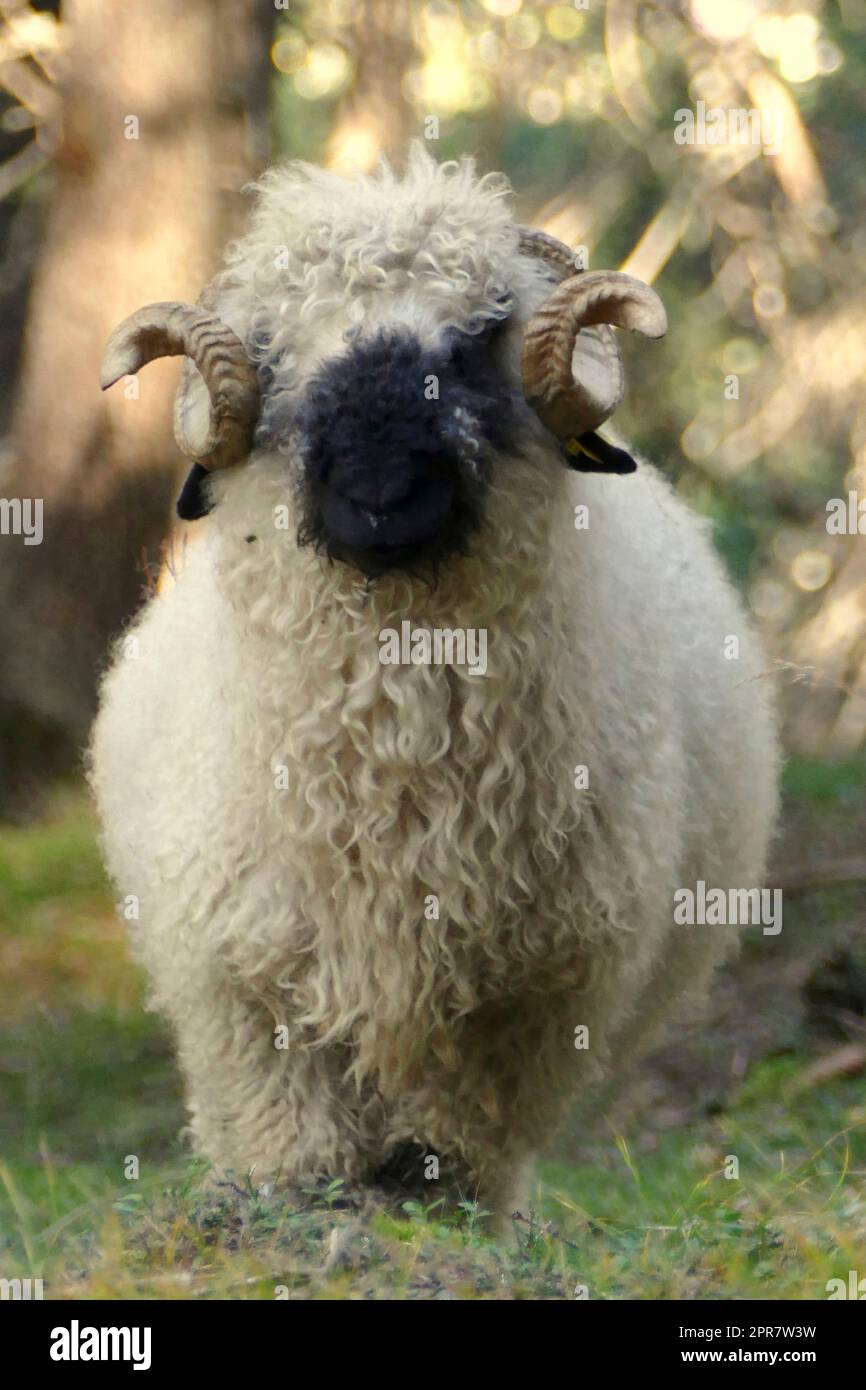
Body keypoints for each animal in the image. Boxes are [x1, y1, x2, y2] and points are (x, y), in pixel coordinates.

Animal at [89, 146, 779, 1223]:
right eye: (275, 356)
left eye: (480, 336)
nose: (381, 497)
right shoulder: (241, 979)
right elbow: (294, 1145)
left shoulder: (531, 1000)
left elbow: (452, 1146)